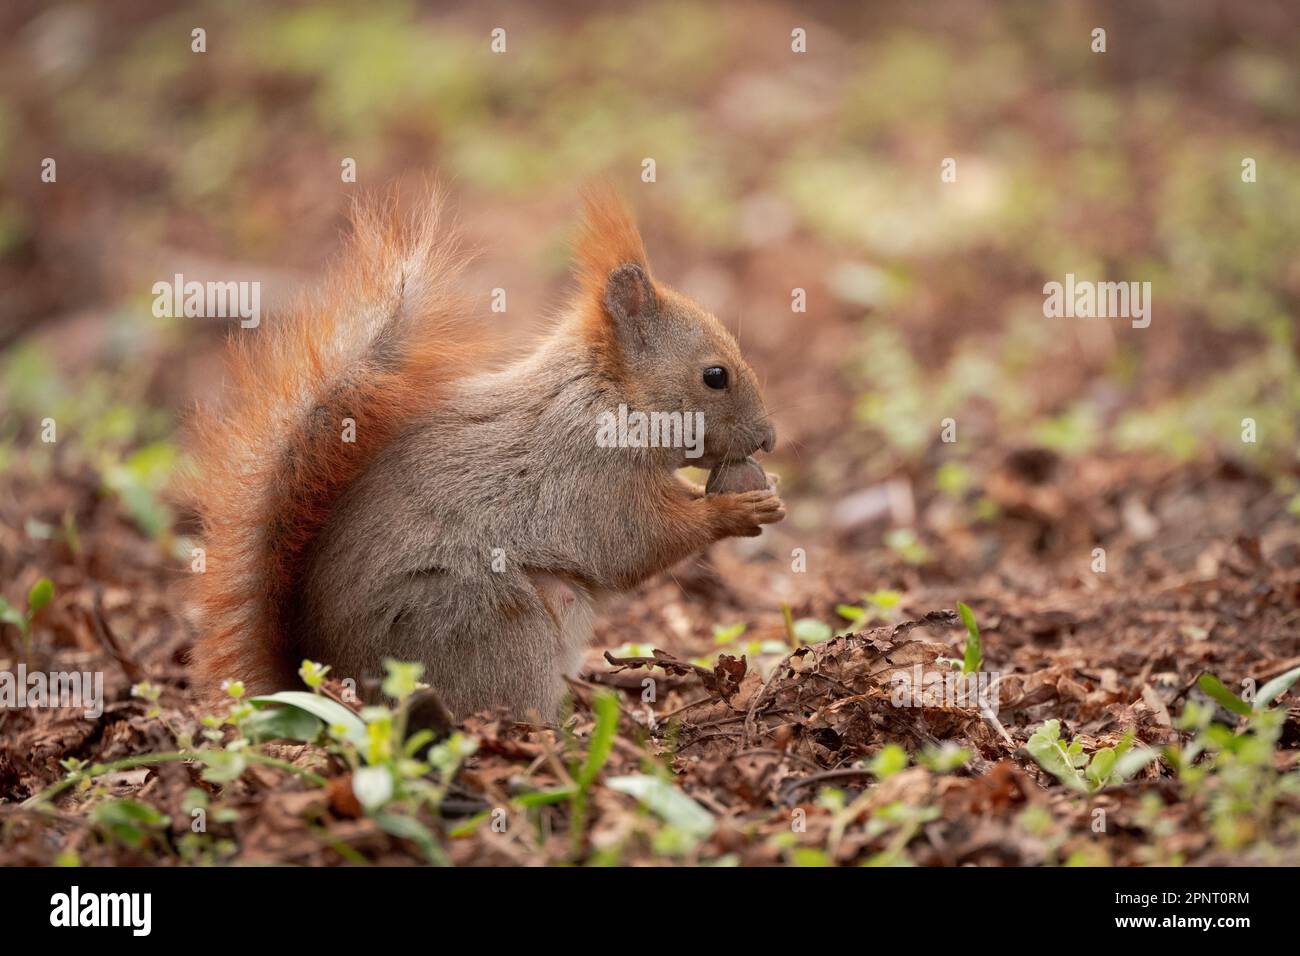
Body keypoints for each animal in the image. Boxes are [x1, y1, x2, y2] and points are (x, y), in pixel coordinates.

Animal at [184, 185, 784, 722]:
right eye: (714, 376)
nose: (767, 439)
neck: (609, 395)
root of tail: (330, 682)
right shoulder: (585, 473)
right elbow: (635, 544)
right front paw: (736, 511)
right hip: (482, 620)